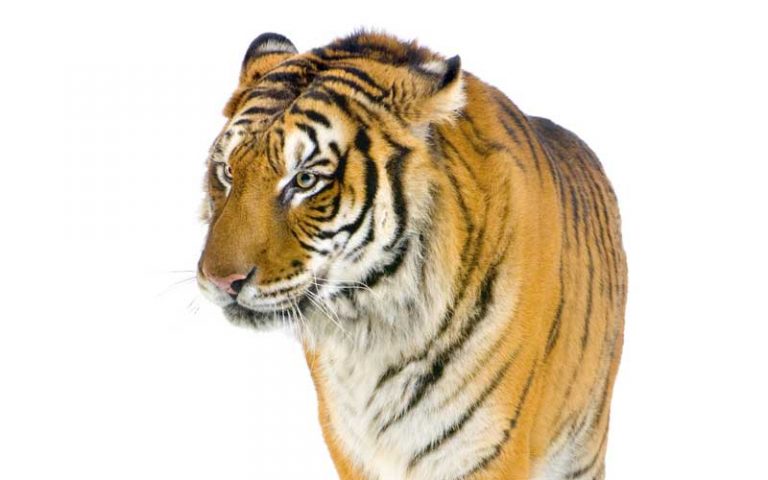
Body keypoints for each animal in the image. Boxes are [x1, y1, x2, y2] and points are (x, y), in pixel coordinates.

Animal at [196, 31, 626, 480]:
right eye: (228, 172)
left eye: (305, 180)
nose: (220, 281)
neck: (371, 334)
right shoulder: (352, 449)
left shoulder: (487, 449)